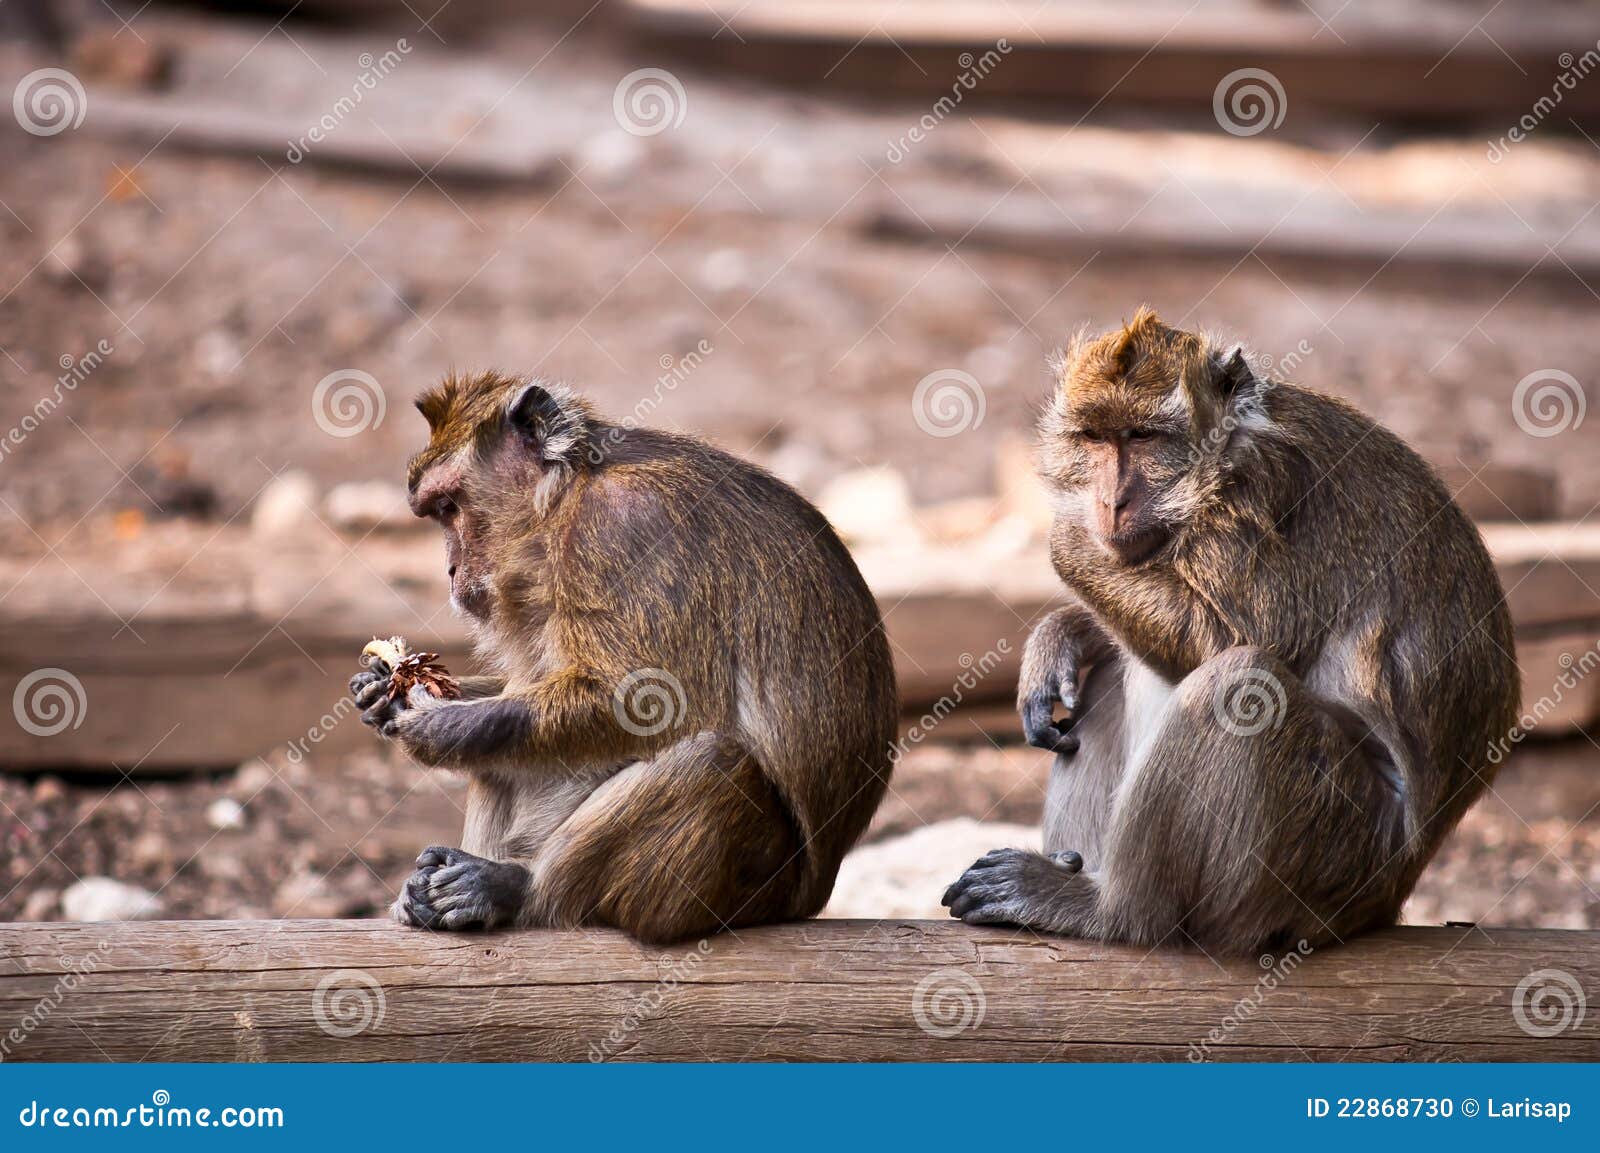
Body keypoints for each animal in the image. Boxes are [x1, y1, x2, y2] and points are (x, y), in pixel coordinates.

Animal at [349, 373, 897, 944]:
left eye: (449, 508)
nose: (451, 570)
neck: (568, 499)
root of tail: (812, 896)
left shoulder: (625, 530)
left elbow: (654, 702)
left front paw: (439, 728)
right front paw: (380, 690)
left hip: (752, 890)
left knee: (709, 763)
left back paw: (517, 892)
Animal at [942, 308, 1520, 955]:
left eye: (1142, 437)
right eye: (1094, 438)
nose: (1110, 502)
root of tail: (1387, 896)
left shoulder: (1260, 489)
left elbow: (1230, 637)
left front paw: (1070, 538)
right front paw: (1061, 637)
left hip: (1326, 851)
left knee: (1239, 683)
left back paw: (1112, 913)